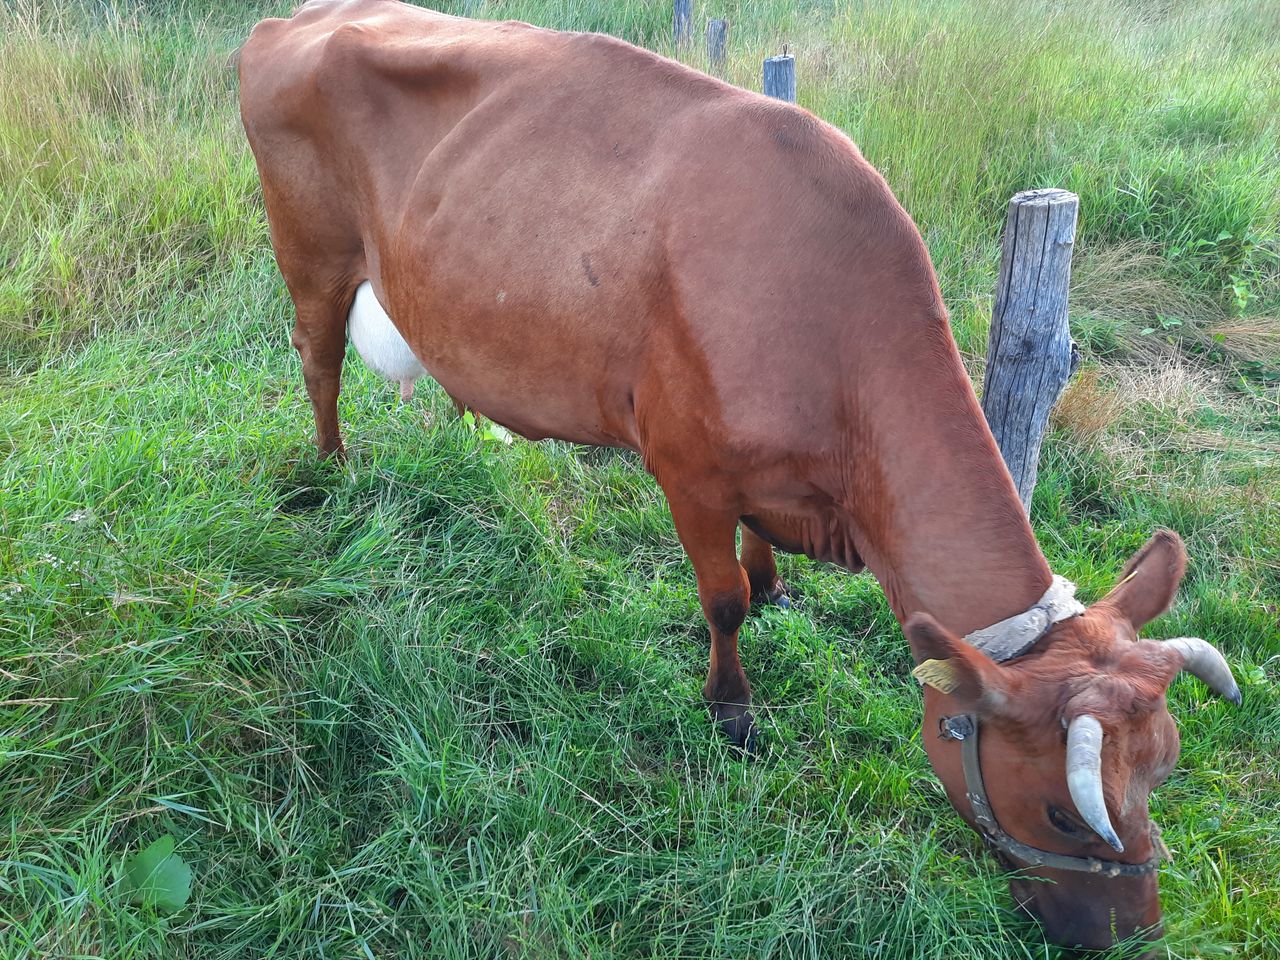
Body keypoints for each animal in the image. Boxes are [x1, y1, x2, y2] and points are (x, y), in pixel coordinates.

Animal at [237, 1, 1240, 951]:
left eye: (1165, 768)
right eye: (1065, 813)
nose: (1134, 934)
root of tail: (300, 17)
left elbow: (757, 561)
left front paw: (776, 589)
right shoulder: (687, 471)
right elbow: (719, 602)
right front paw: (733, 713)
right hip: (310, 252)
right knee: (318, 361)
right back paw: (332, 473)